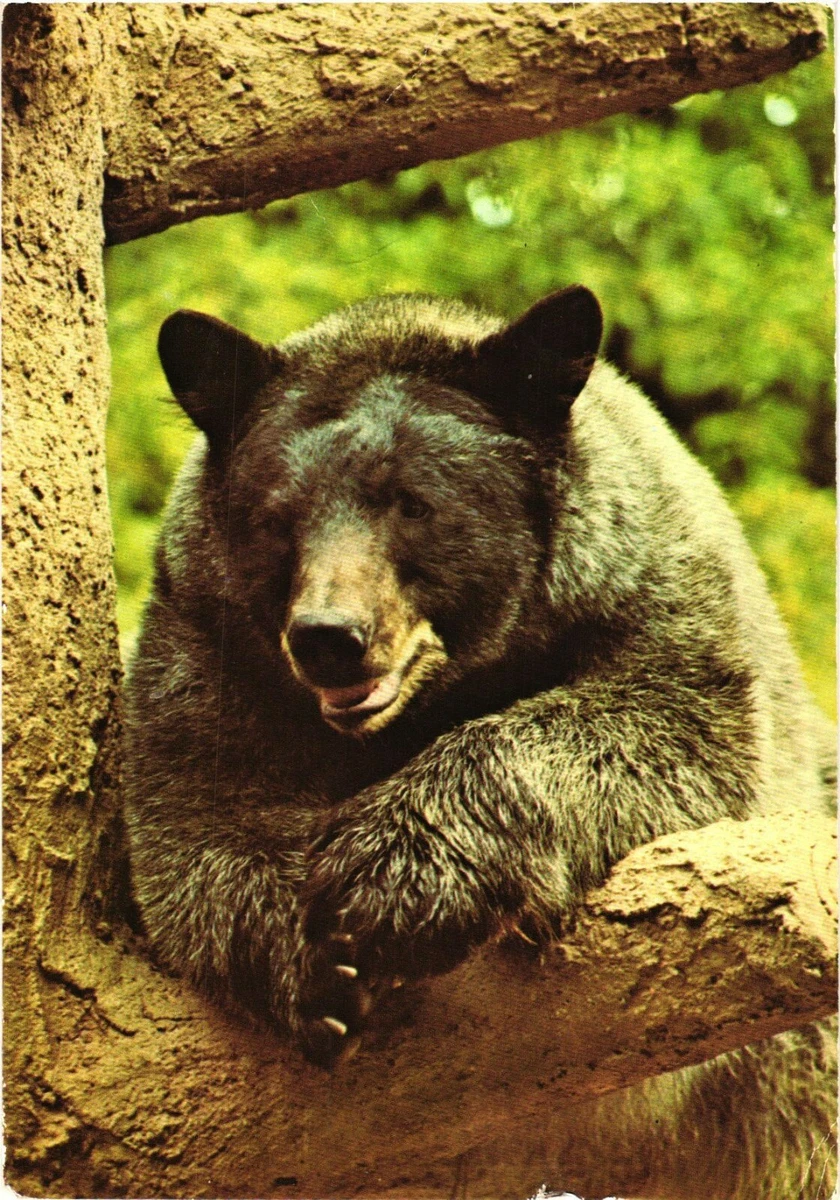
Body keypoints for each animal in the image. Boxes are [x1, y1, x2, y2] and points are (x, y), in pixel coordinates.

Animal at [124, 286, 835, 1195]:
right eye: (276, 520)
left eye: (413, 504)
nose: (328, 638)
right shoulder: (201, 643)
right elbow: (198, 812)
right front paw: (317, 965)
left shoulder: (651, 585)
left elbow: (672, 731)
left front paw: (395, 875)